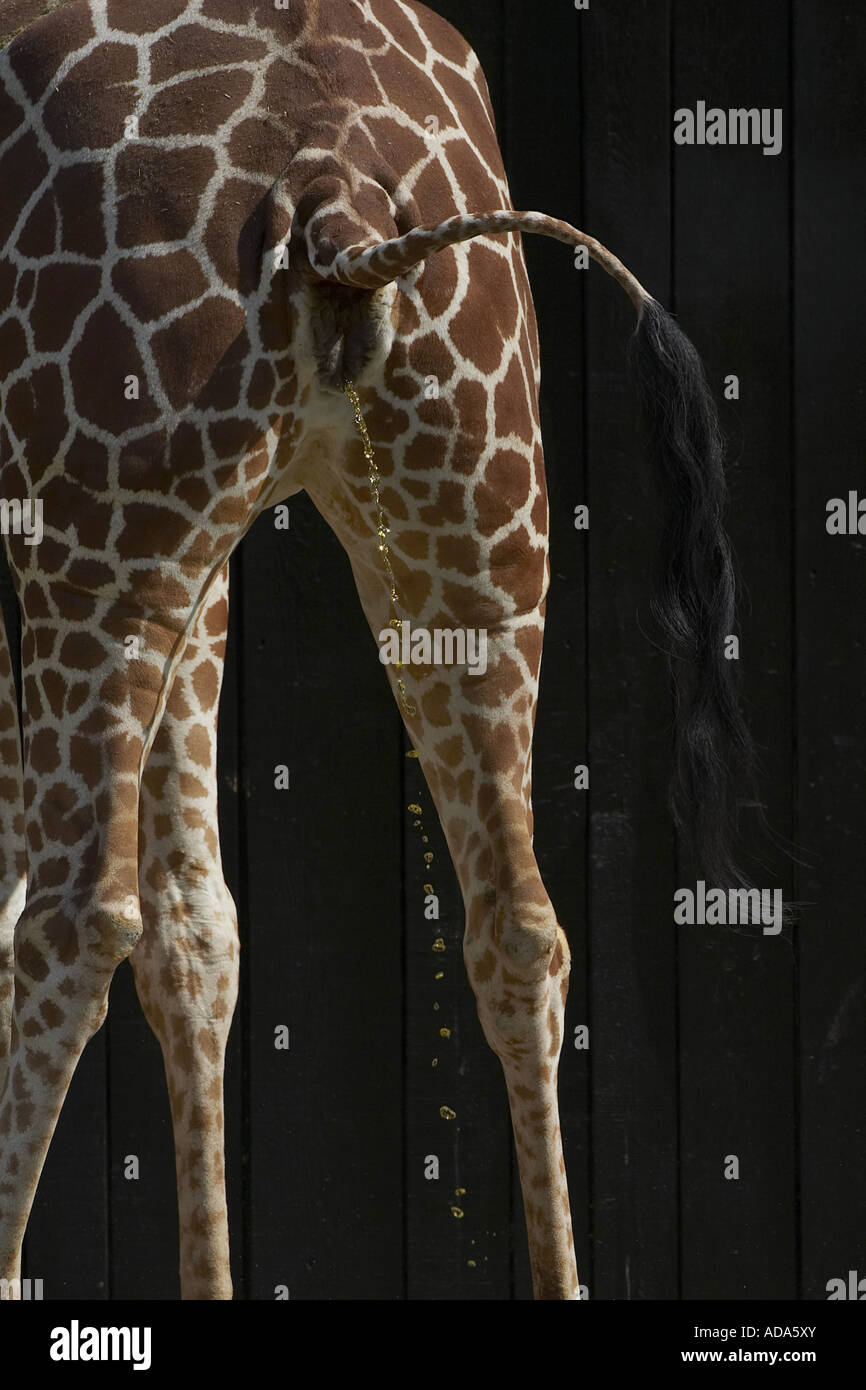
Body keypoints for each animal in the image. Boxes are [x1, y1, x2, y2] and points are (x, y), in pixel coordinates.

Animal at [0, 0, 751, 1300]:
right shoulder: (201, 566)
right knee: (518, 927)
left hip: (91, 518)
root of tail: (336, 197)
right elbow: (201, 925)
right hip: (477, 524)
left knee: (71, 918)